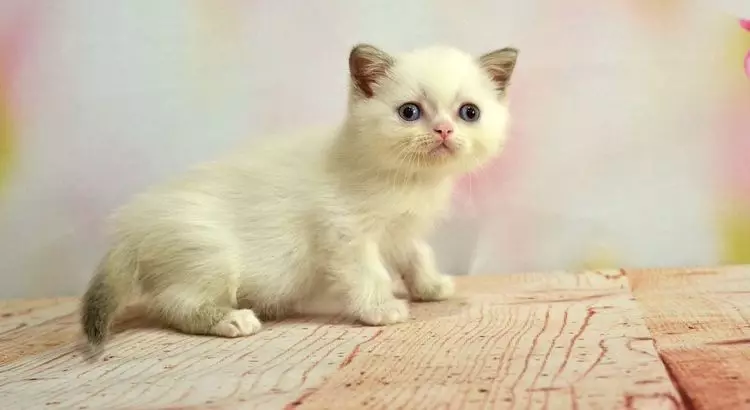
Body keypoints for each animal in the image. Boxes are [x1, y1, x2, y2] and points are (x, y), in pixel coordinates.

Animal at [81, 42, 516, 350]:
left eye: (469, 113)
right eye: (409, 112)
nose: (444, 131)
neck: (410, 179)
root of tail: (130, 227)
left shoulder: (401, 229)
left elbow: (417, 254)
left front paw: (430, 287)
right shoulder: (345, 230)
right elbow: (368, 271)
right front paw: (379, 309)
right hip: (208, 253)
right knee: (176, 304)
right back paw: (231, 319)